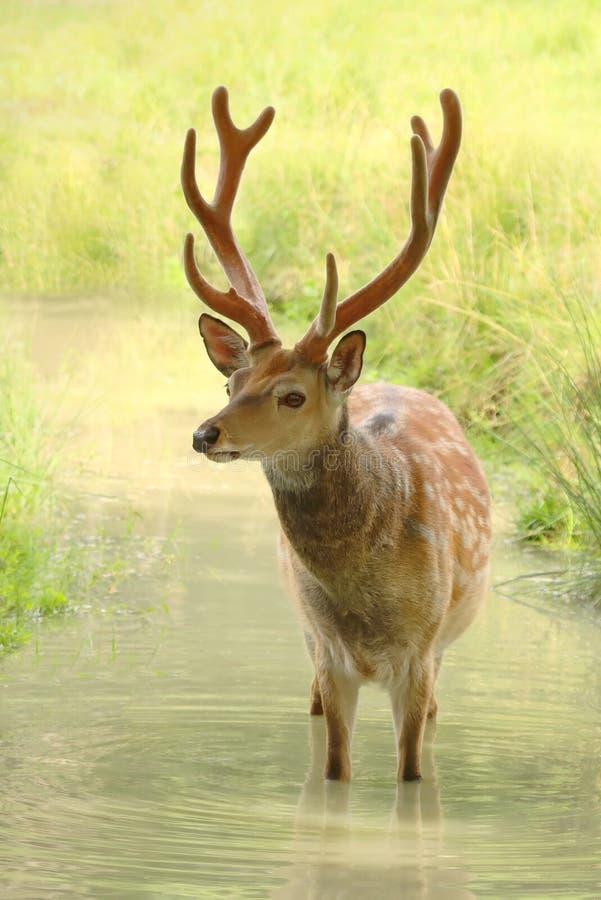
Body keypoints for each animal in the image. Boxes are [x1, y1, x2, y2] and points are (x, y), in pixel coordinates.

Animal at [181, 86, 490, 783]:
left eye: (292, 395)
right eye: (231, 382)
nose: (206, 434)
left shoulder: (419, 653)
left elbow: (410, 772)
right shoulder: (327, 650)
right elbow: (334, 772)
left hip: (444, 647)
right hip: (304, 637)